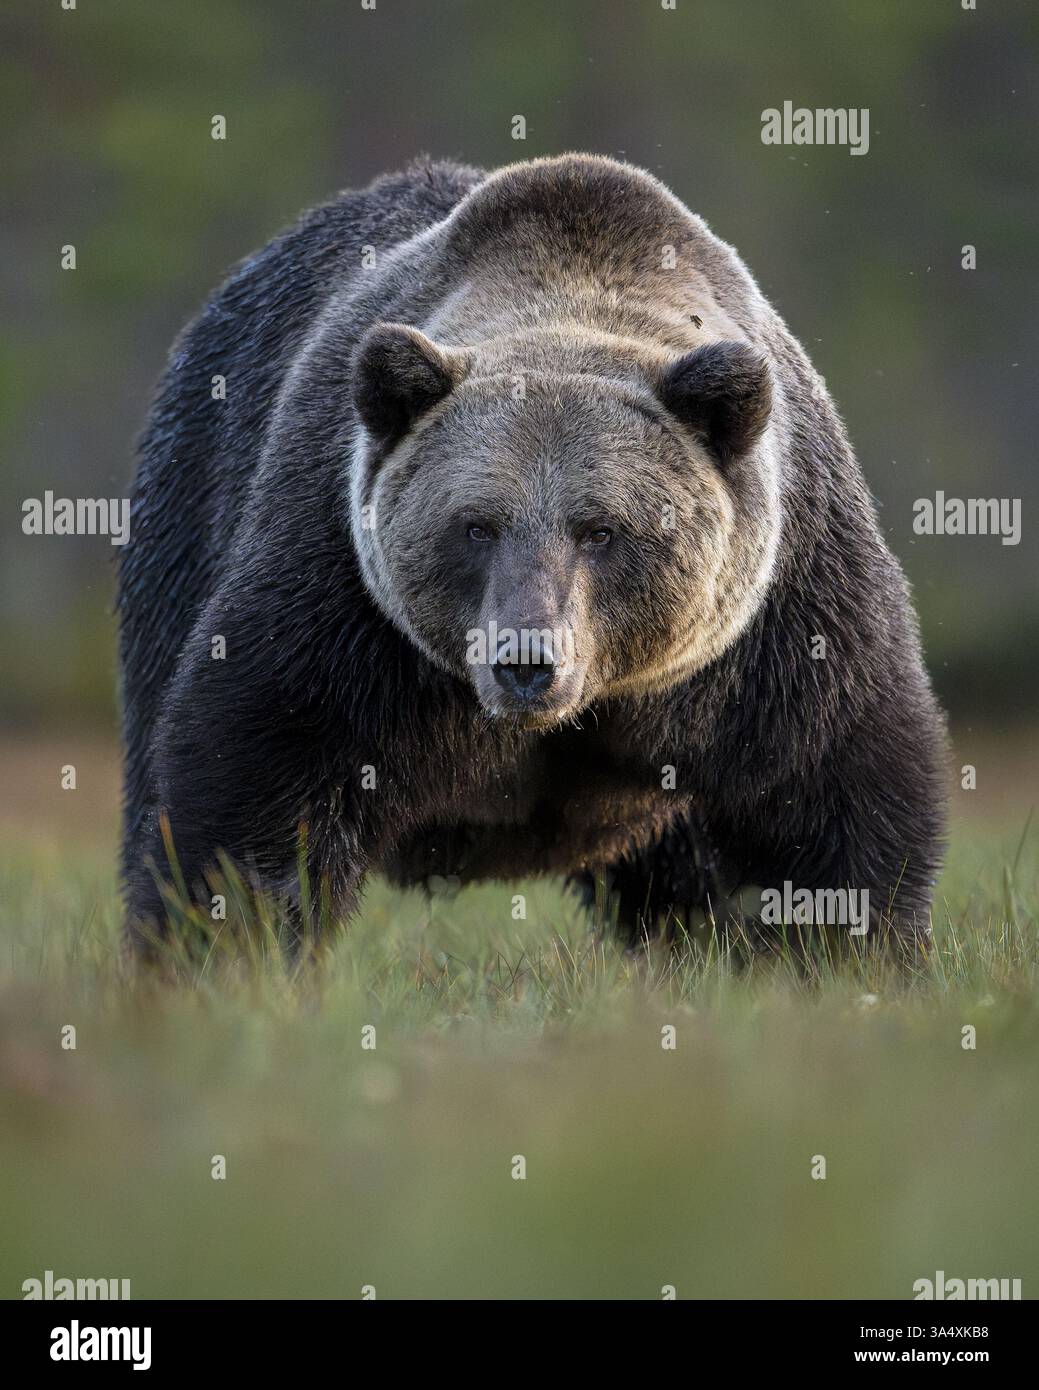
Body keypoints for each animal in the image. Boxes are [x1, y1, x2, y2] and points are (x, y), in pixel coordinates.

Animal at [118, 153, 947, 956]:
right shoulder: (340, 591)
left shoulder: (775, 628)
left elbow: (831, 800)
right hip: (193, 496)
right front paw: (221, 952)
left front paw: (835, 957)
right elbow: (255, 780)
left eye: (601, 530)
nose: (526, 660)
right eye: (476, 526)